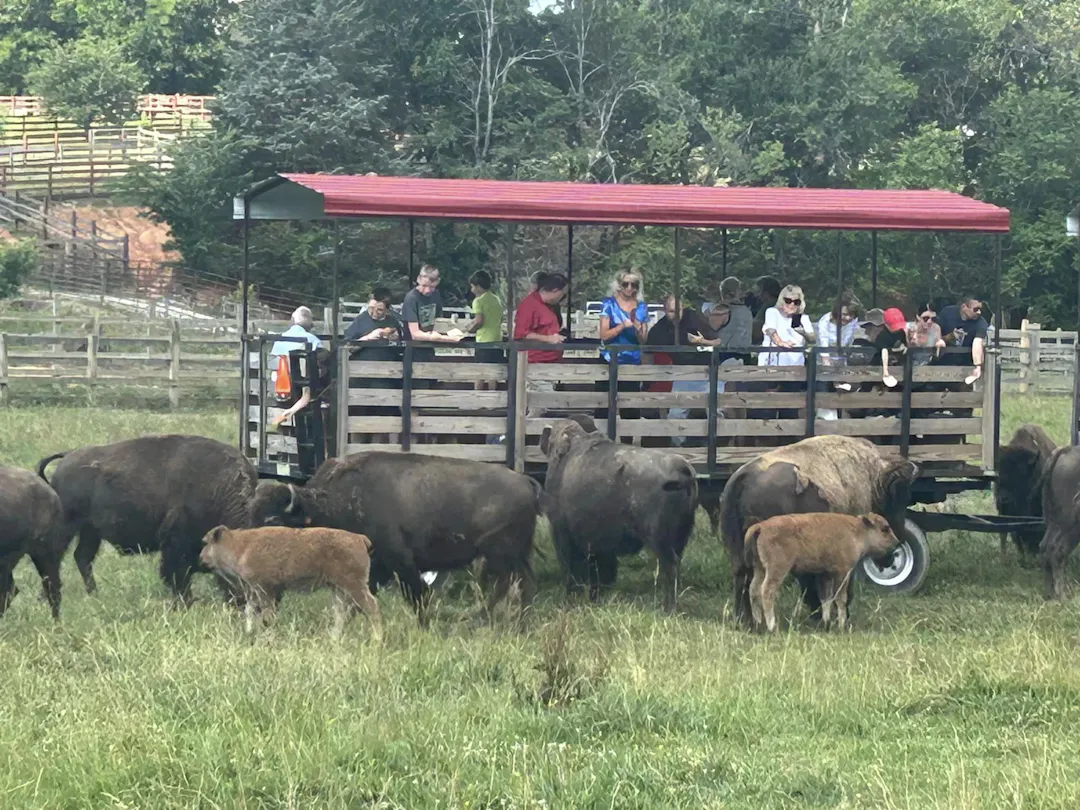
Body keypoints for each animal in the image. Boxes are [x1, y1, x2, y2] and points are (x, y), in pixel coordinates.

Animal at [38, 434, 257, 605]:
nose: (242, 600)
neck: (220, 490)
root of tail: (67, 457)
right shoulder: (174, 545)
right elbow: (176, 576)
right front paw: (184, 602)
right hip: (68, 527)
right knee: (55, 557)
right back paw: (48, 597)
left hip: (91, 531)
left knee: (82, 557)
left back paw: (94, 594)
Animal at [248, 451, 543, 626]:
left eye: (272, 521)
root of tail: (526, 482)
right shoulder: (375, 569)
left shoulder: (400, 562)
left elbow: (416, 596)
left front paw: (424, 627)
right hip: (510, 556)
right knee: (517, 585)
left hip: (503, 554)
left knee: (512, 585)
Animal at [540, 415, 698, 611]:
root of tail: (682, 467)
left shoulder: (562, 535)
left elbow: (573, 570)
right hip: (680, 539)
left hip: (660, 542)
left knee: (670, 566)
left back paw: (668, 608)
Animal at [719, 435, 920, 627]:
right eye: (901, 498)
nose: (898, 543)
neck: (873, 478)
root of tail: (743, 477)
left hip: (741, 554)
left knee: (743, 579)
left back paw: (744, 620)